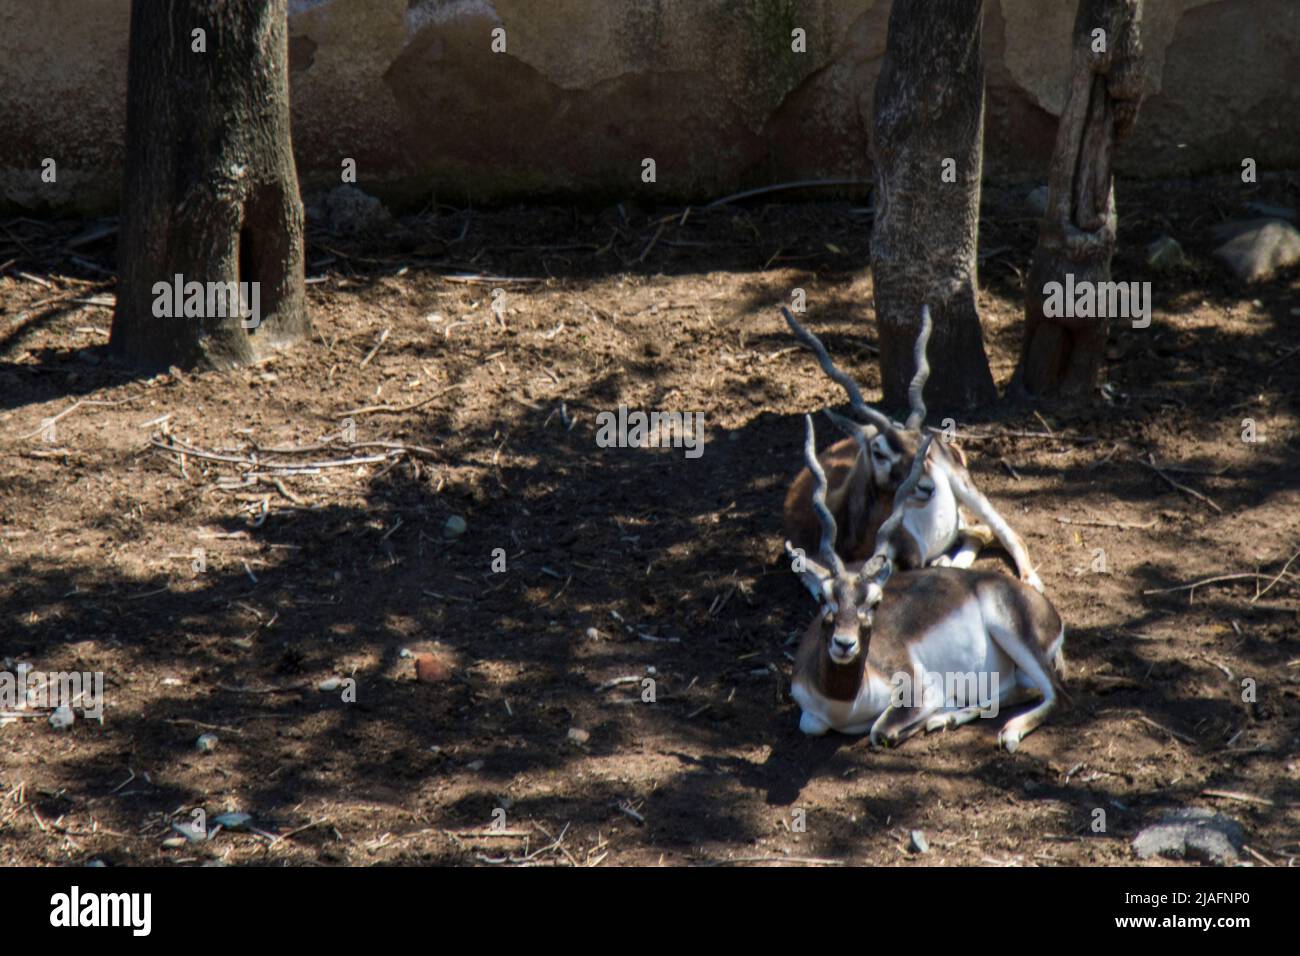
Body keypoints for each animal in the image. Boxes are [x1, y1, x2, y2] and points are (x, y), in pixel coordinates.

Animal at [781, 306, 1043, 596]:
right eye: (879, 452)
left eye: (922, 451)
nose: (929, 487)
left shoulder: (911, 557)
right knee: (975, 532)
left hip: (966, 487)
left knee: (1001, 532)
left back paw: (1030, 580)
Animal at [789, 415, 1066, 752]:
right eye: (822, 598)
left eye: (876, 602)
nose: (844, 644)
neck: (844, 703)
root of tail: (1043, 604)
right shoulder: (809, 714)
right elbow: (810, 725)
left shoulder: (922, 690)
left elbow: (881, 730)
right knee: (1018, 690)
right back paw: (949, 719)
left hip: (1013, 632)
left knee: (1055, 695)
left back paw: (1007, 732)